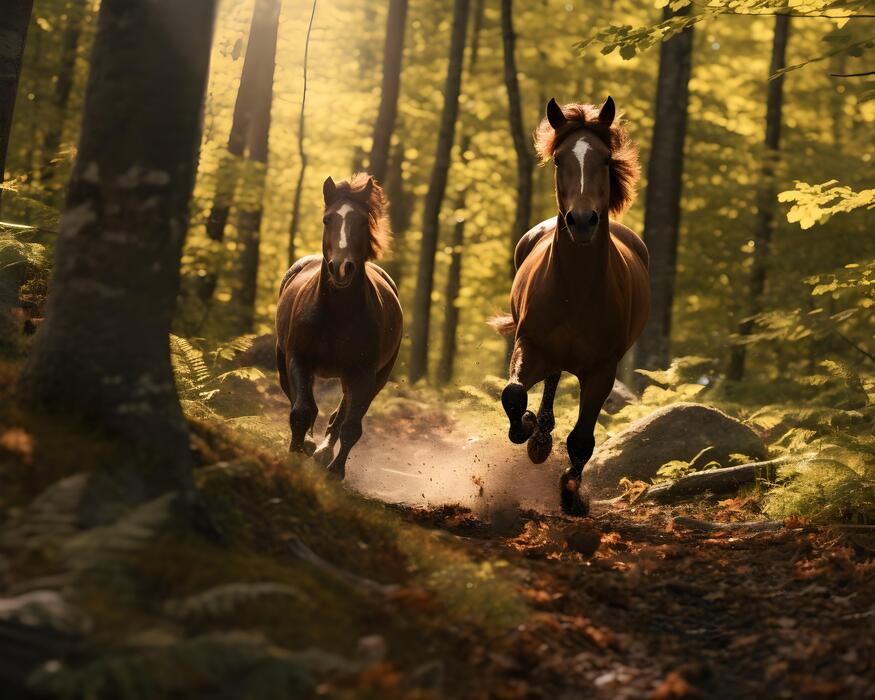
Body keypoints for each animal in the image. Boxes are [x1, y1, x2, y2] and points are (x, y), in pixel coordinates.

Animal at [275, 173, 402, 478]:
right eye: (327, 219)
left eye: (362, 221)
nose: (342, 268)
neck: (336, 314)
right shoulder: (298, 359)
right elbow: (301, 411)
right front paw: (296, 454)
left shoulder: (364, 374)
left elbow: (351, 426)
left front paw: (335, 470)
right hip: (284, 361)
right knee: (301, 402)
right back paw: (310, 444)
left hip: (368, 379)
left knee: (340, 414)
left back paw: (323, 451)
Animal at [489, 97, 650, 515]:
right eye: (560, 160)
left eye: (606, 159)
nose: (581, 221)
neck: (576, 290)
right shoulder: (530, 346)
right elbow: (513, 395)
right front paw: (529, 431)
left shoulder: (602, 372)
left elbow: (582, 439)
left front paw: (572, 495)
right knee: (549, 381)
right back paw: (540, 436)